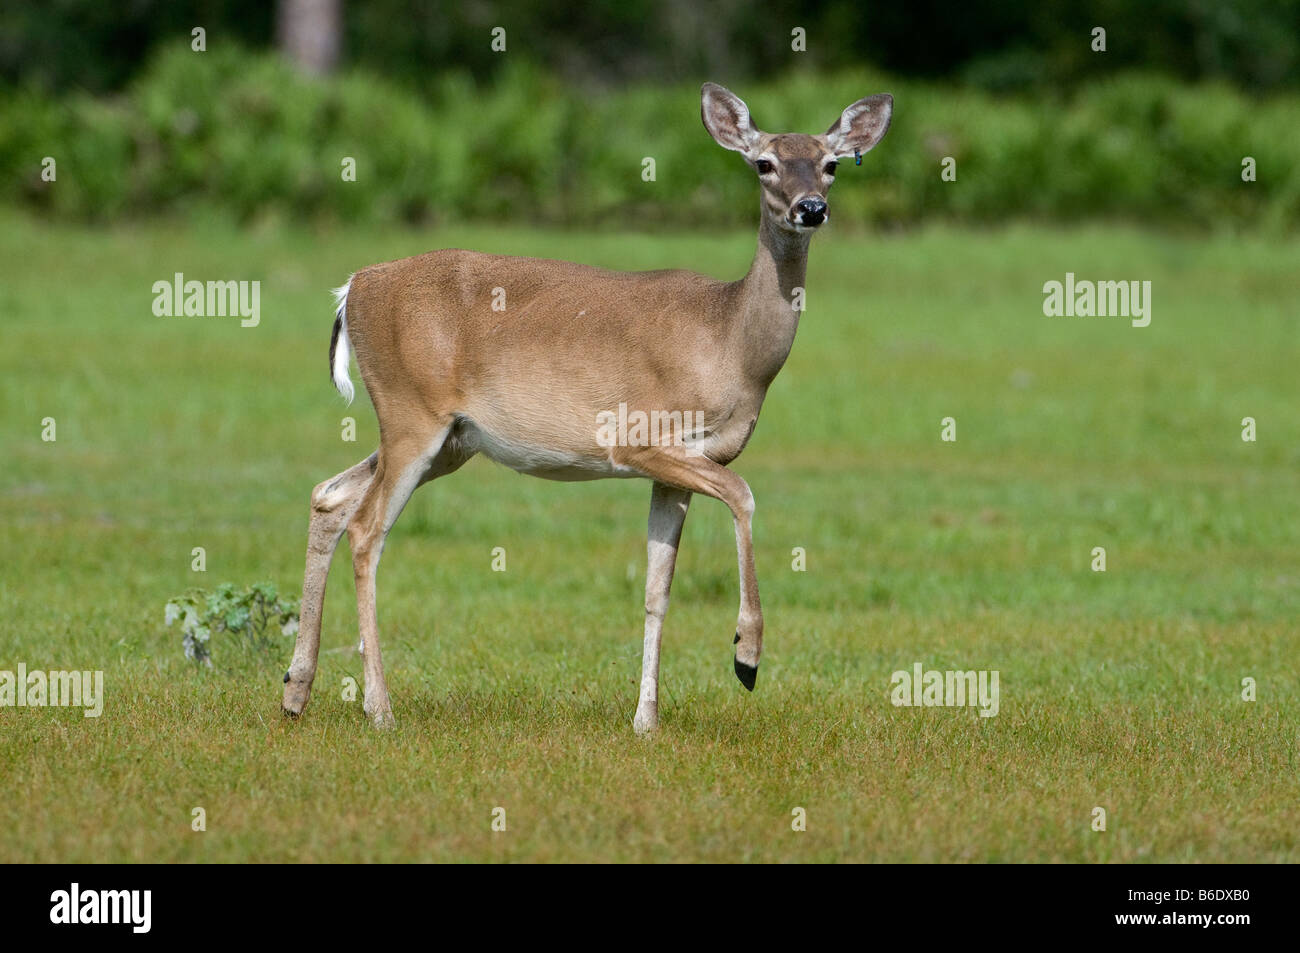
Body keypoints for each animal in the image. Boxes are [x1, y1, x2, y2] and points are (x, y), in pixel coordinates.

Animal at [281, 83, 893, 731]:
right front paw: (746, 657)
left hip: (450, 439)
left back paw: (295, 691)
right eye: (764, 164)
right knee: (366, 530)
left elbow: (657, 587)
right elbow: (744, 496)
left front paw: (646, 720)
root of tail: (354, 287)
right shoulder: (640, 438)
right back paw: (379, 709)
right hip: (410, 411)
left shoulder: (682, 467)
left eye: (831, 164)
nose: (811, 208)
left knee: (329, 497)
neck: (730, 343)